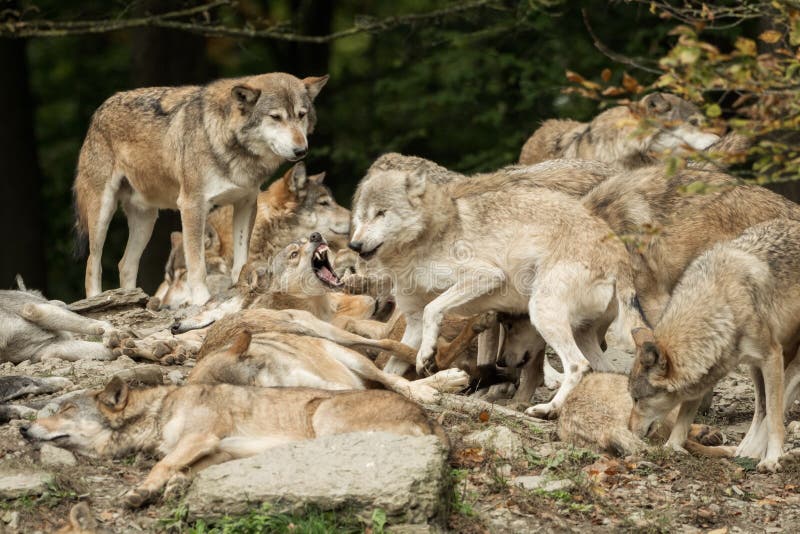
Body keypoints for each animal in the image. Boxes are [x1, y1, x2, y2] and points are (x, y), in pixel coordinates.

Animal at [21, 376, 446, 508]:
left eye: (67, 409)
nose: (24, 429)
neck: (158, 413)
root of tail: (429, 421)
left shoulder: (201, 436)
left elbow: (162, 464)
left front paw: (141, 492)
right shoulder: (220, 449)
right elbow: (184, 469)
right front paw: (176, 487)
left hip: (323, 416)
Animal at [74, 72, 328, 305]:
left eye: (301, 115)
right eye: (275, 117)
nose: (301, 150)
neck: (232, 147)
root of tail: (100, 110)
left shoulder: (246, 203)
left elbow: (241, 258)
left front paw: (240, 286)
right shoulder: (192, 205)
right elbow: (197, 264)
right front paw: (202, 299)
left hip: (146, 221)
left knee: (125, 264)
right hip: (102, 213)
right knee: (92, 264)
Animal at [349, 154, 648, 418]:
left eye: (381, 213)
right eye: (361, 217)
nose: (354, 245)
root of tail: (618, 253)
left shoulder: (486, 275)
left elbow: (432, 309)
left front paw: (427, 355)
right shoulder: (411, 323)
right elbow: (391, 369)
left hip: (542, 313)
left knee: (578, 366)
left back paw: (546, 410)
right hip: (581, 332)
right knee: (603, 371)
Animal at [627, 218, 800, 472]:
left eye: (637, 399)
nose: (628, 430)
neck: (723, 305)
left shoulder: (771, 357)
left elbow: (775, 420)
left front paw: (773, 458)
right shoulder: (705, 374)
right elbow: (683, 418)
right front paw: (672, 447)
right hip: (754, 369)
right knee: (760, 408)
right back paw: (745, 451)